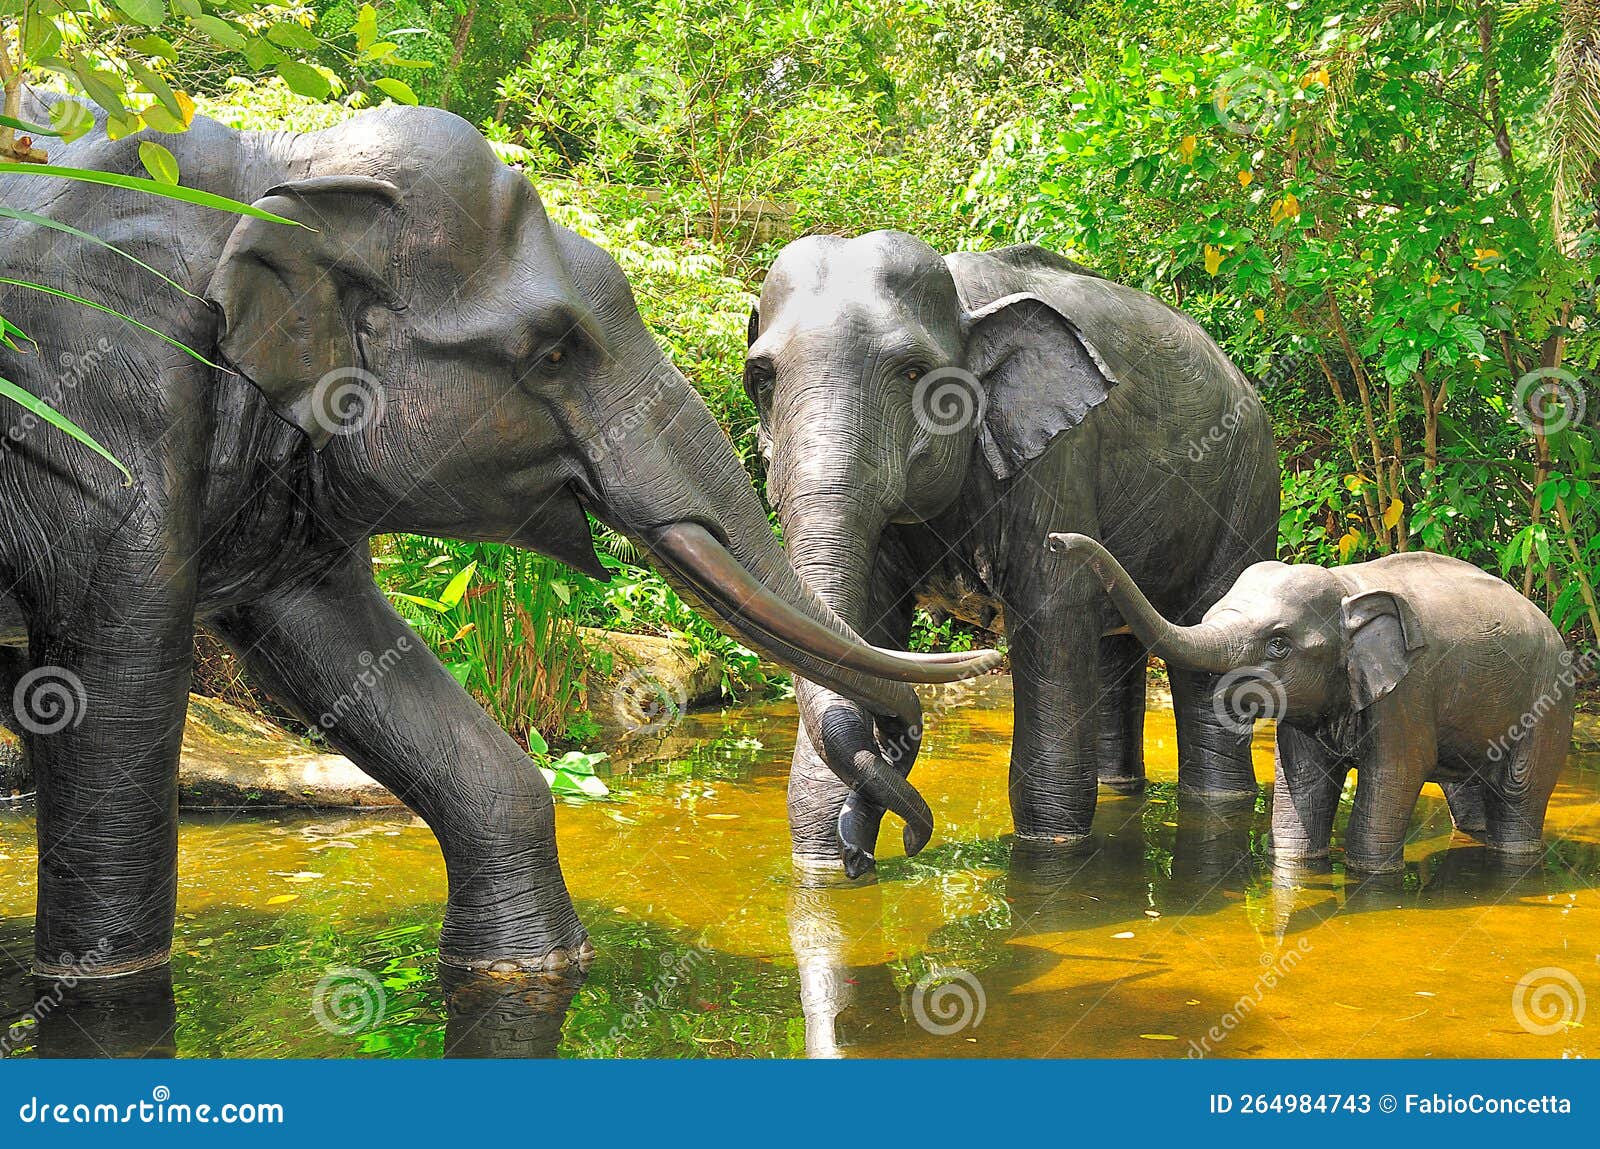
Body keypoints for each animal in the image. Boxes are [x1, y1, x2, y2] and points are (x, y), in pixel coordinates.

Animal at [0, 98, 997, 980]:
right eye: (554, 350)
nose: (887, 841)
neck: (281, 161)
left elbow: (333, 636)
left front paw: (528, 967)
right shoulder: (98, 389)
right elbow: (111, 688)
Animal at [745, 231, 1280, 875]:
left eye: (915, 373)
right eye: (760, 379)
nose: (869, 852)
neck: (961, 302)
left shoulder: (1056, 460)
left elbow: (1051, 614)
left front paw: (1050, 855)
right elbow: (858, 632)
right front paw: (824, 868)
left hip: (1247, 492)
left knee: (1201, 653)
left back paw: (1219, 801)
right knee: (1112, 647)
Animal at [1047, 532, 1575, 872]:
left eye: (1279, 644)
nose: (1055, 541)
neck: (1348, 589)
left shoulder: (1407, 691)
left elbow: (1397, 772)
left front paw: (1369, 872)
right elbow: (1303, 774)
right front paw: (1297, 862)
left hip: (1549, 701)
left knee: (1519, 787)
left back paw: (1512, 854)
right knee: (1463, 788)